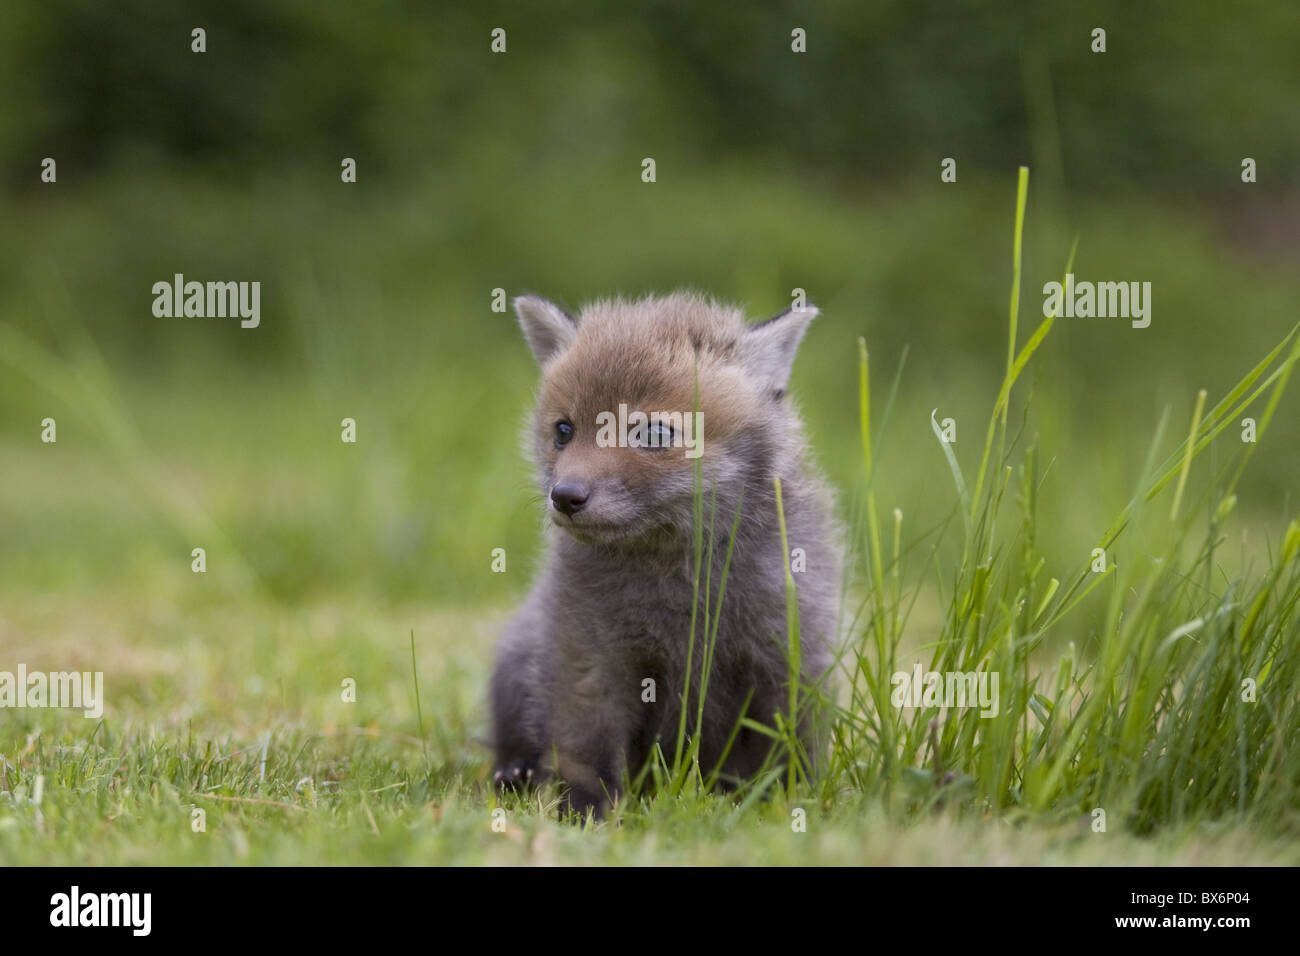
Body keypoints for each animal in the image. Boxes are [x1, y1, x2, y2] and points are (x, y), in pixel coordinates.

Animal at [490, 291, 842, 817]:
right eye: (563, 431)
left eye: (653, 434)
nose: (565, 496)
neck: (677, 580)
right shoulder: (588, 658)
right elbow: (586, 753)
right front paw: (585, 816)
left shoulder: (790, 655)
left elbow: (790, 751)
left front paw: (787, 809)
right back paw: (515, 772)